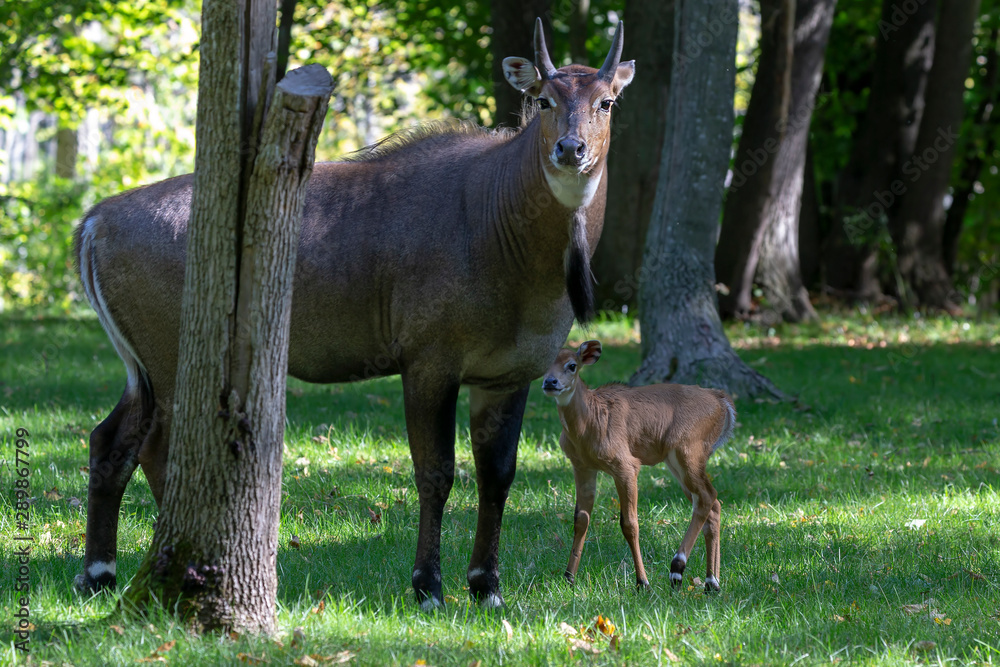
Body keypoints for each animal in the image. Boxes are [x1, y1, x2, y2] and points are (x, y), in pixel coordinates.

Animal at [73, 20, 634, 611]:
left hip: (140, 368)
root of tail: (93, 223)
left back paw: (99, 573)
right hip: (171, 361)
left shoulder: (509, 375)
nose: (570, 149)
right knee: (156, 448)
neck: (501, 221)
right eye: (544, 98)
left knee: (111, 440)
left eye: (607, 101)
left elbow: (497, 475)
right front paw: (428, 587)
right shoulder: (429, 364)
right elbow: (436, 472)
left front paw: (487, 587)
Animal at [542, 340, 735, 592]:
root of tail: (723, 402)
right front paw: (569, 577)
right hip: (678, 461)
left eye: (572, 365)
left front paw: (642, 581)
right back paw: (712, 583)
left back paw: (677, 570)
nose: (550, 382)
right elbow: (581, 519)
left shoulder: (625, 464)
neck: (588, 426)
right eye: (544, 364)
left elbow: (630, 523)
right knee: (713, 503)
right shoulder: (582, 466)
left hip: (689, 449)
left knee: (707, 496)